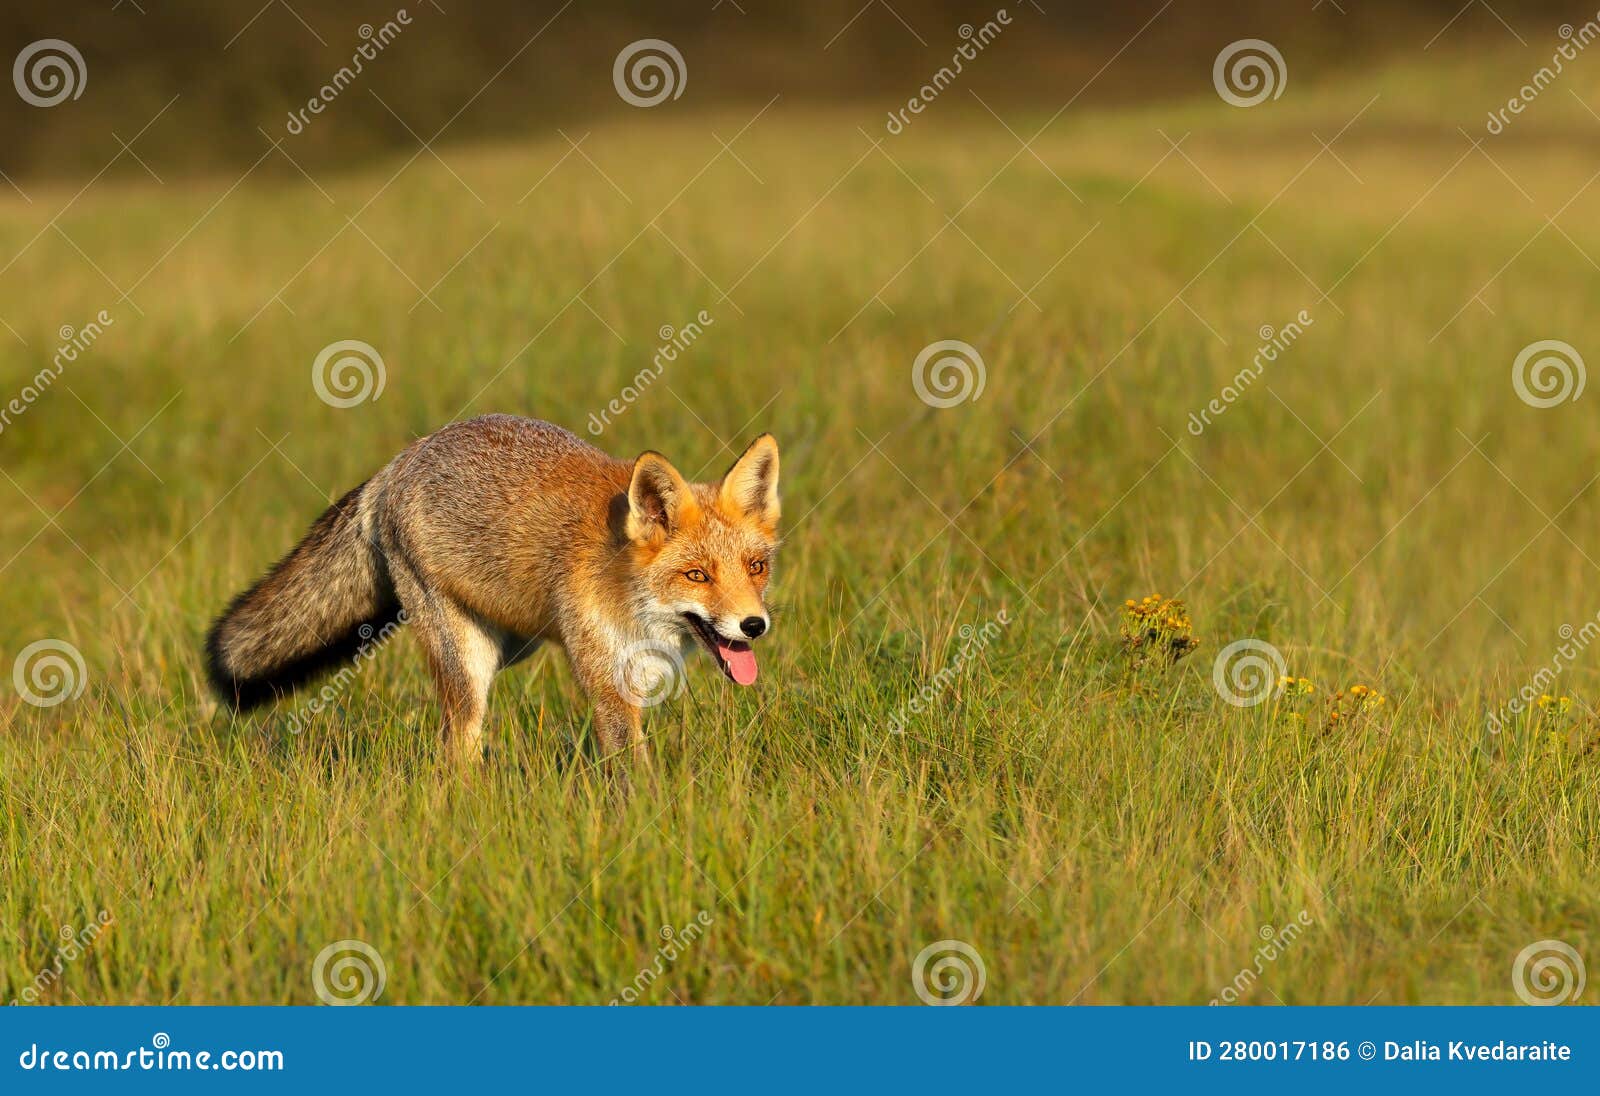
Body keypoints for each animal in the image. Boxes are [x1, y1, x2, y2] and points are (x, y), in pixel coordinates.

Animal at [204, 414, 780, 768]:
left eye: (755, 568)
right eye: (697, 575)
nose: (754, 625)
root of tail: (398, 463)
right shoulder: (607, 685)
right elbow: (634, 773)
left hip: (512, 645)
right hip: (468, 662)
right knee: (454, 747)